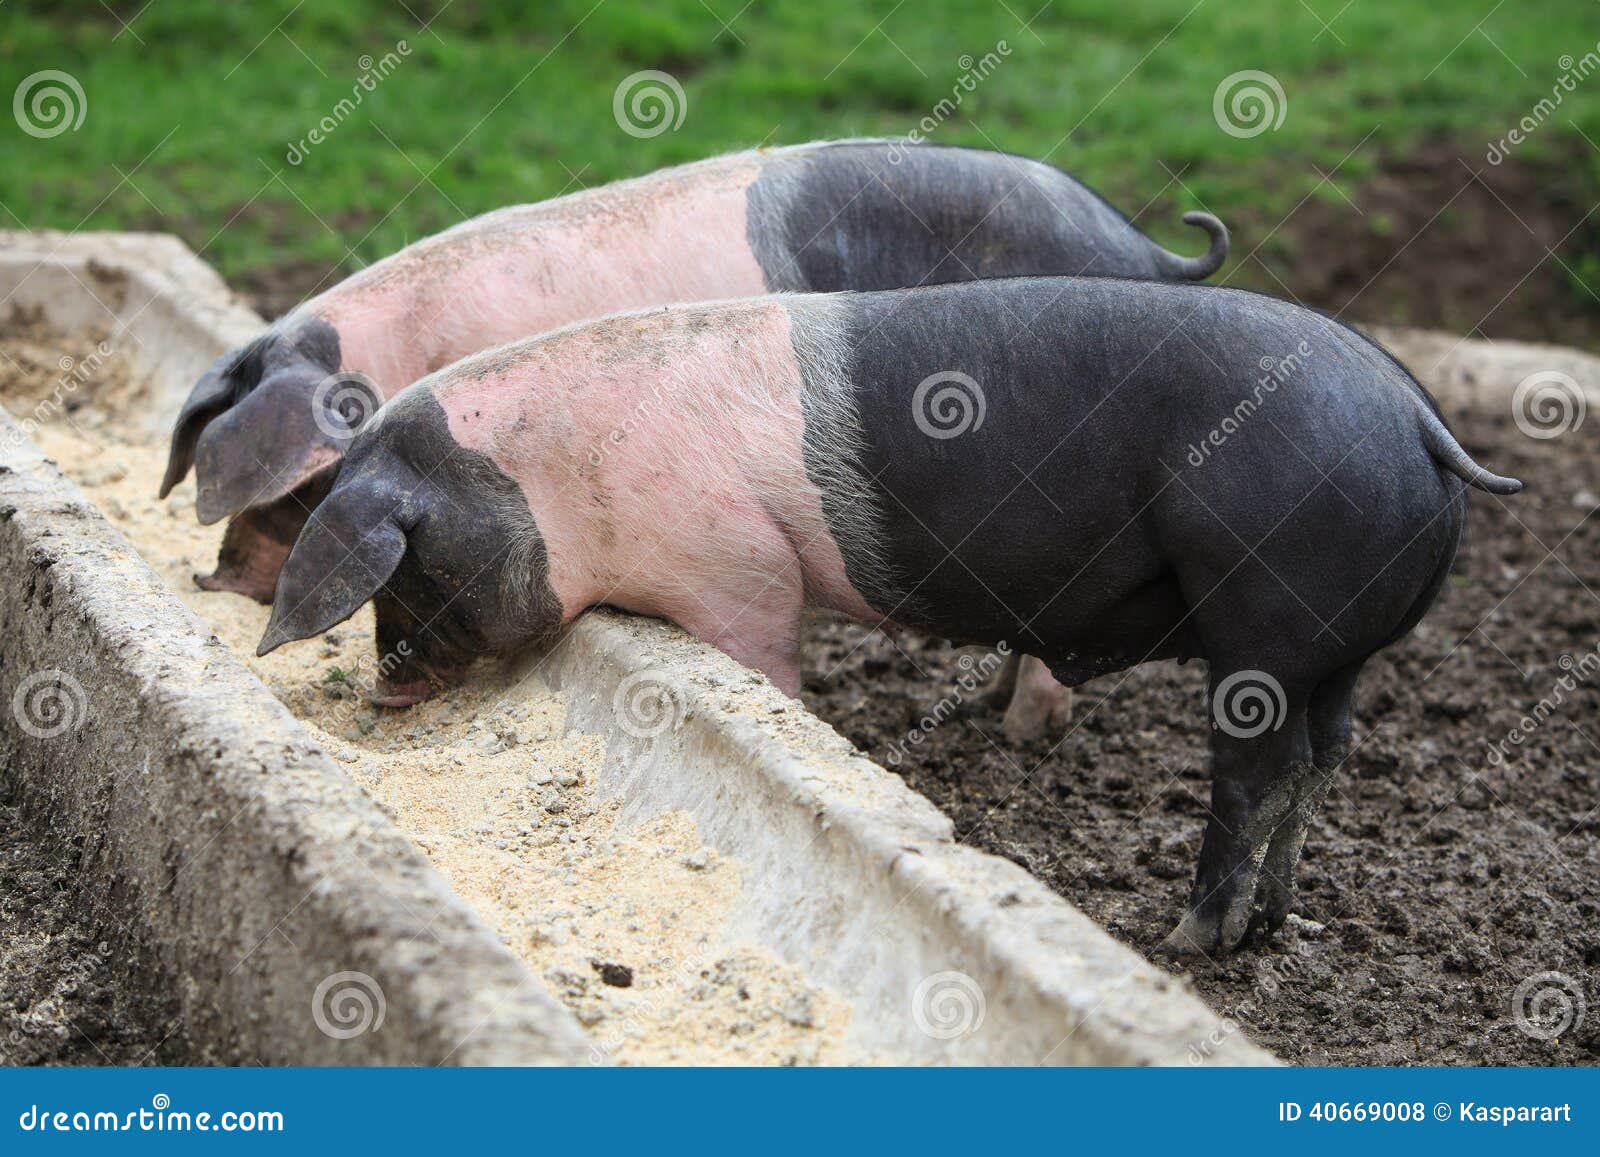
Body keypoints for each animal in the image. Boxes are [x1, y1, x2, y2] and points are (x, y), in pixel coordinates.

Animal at [255, 277, 1521, 956]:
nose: (384, 692)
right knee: (1321, 759)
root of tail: (1414, 417)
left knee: (1252, 772)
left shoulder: (739, 569)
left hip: (1261, 615)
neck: (553, 484)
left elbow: (769, 664)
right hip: (1337, 654)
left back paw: (1187, 937)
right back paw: (1271, 925)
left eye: (407, 566)